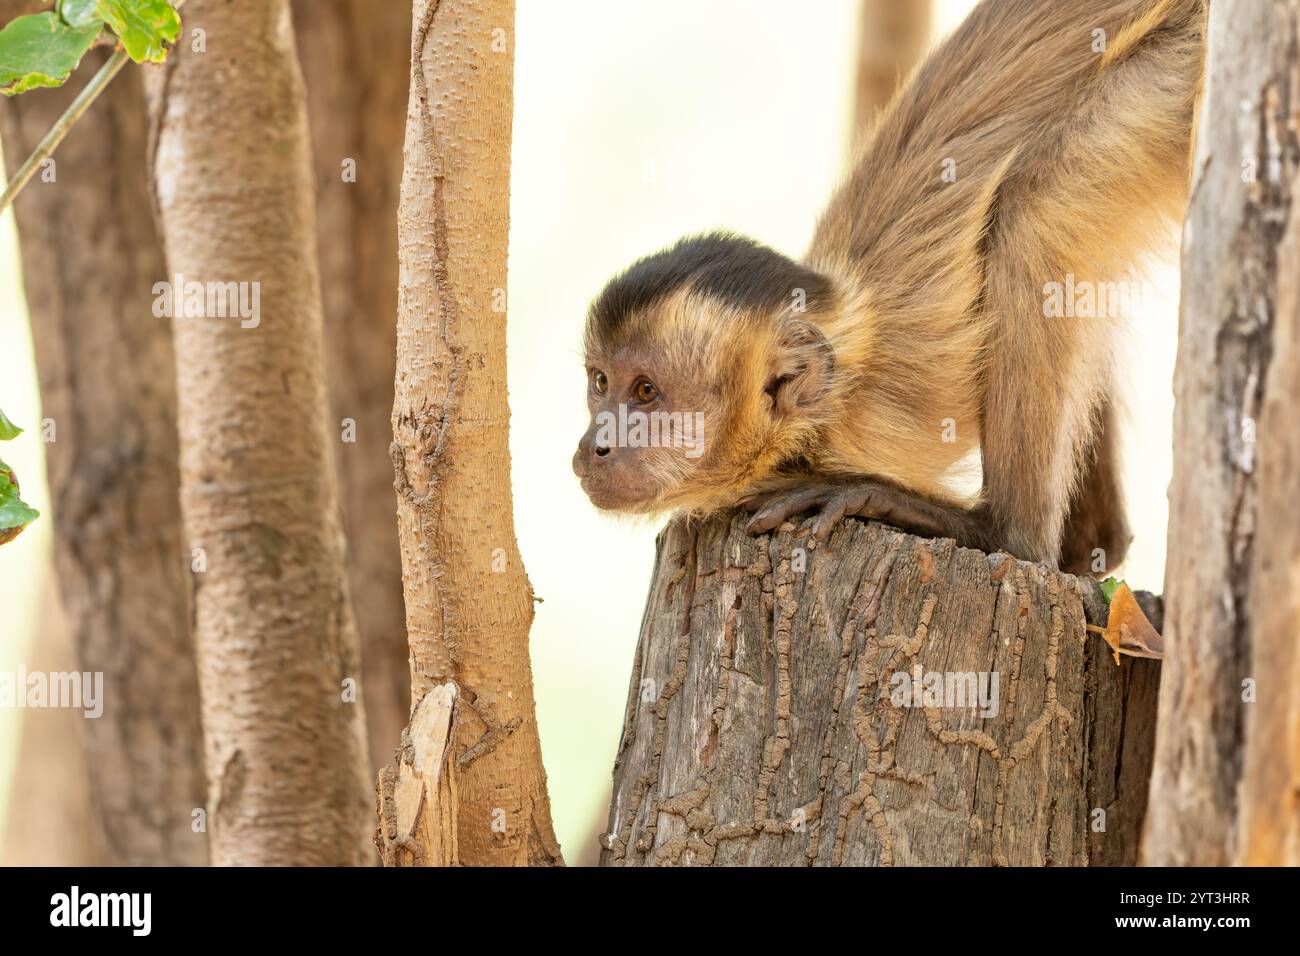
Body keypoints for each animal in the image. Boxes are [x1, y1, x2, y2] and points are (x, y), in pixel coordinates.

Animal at [572, 0, 1205, 573]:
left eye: (646, 392)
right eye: (600, 383)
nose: (592, 445)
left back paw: (1000, 531)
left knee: (1036, 206)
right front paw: (1094, 546)